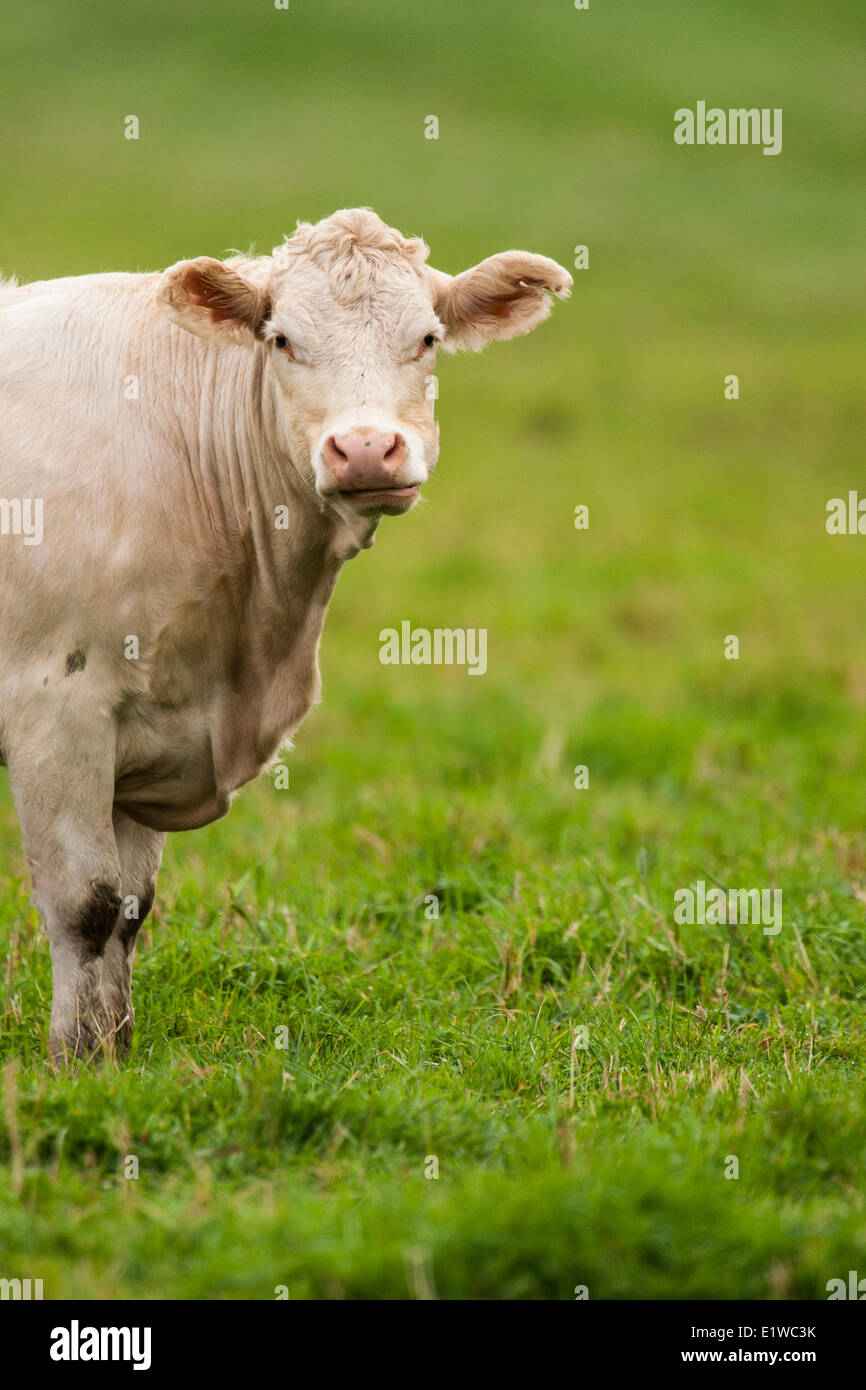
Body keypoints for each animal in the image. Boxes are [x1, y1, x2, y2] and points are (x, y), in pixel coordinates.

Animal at [0, 208, 571, 1064]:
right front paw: (75, 1064)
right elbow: (86, 906)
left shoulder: (149, 726)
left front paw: (116, 1057)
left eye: (428, 338)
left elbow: (131, 908)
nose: (365, 450)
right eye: (282, 340)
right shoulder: (55, 709)